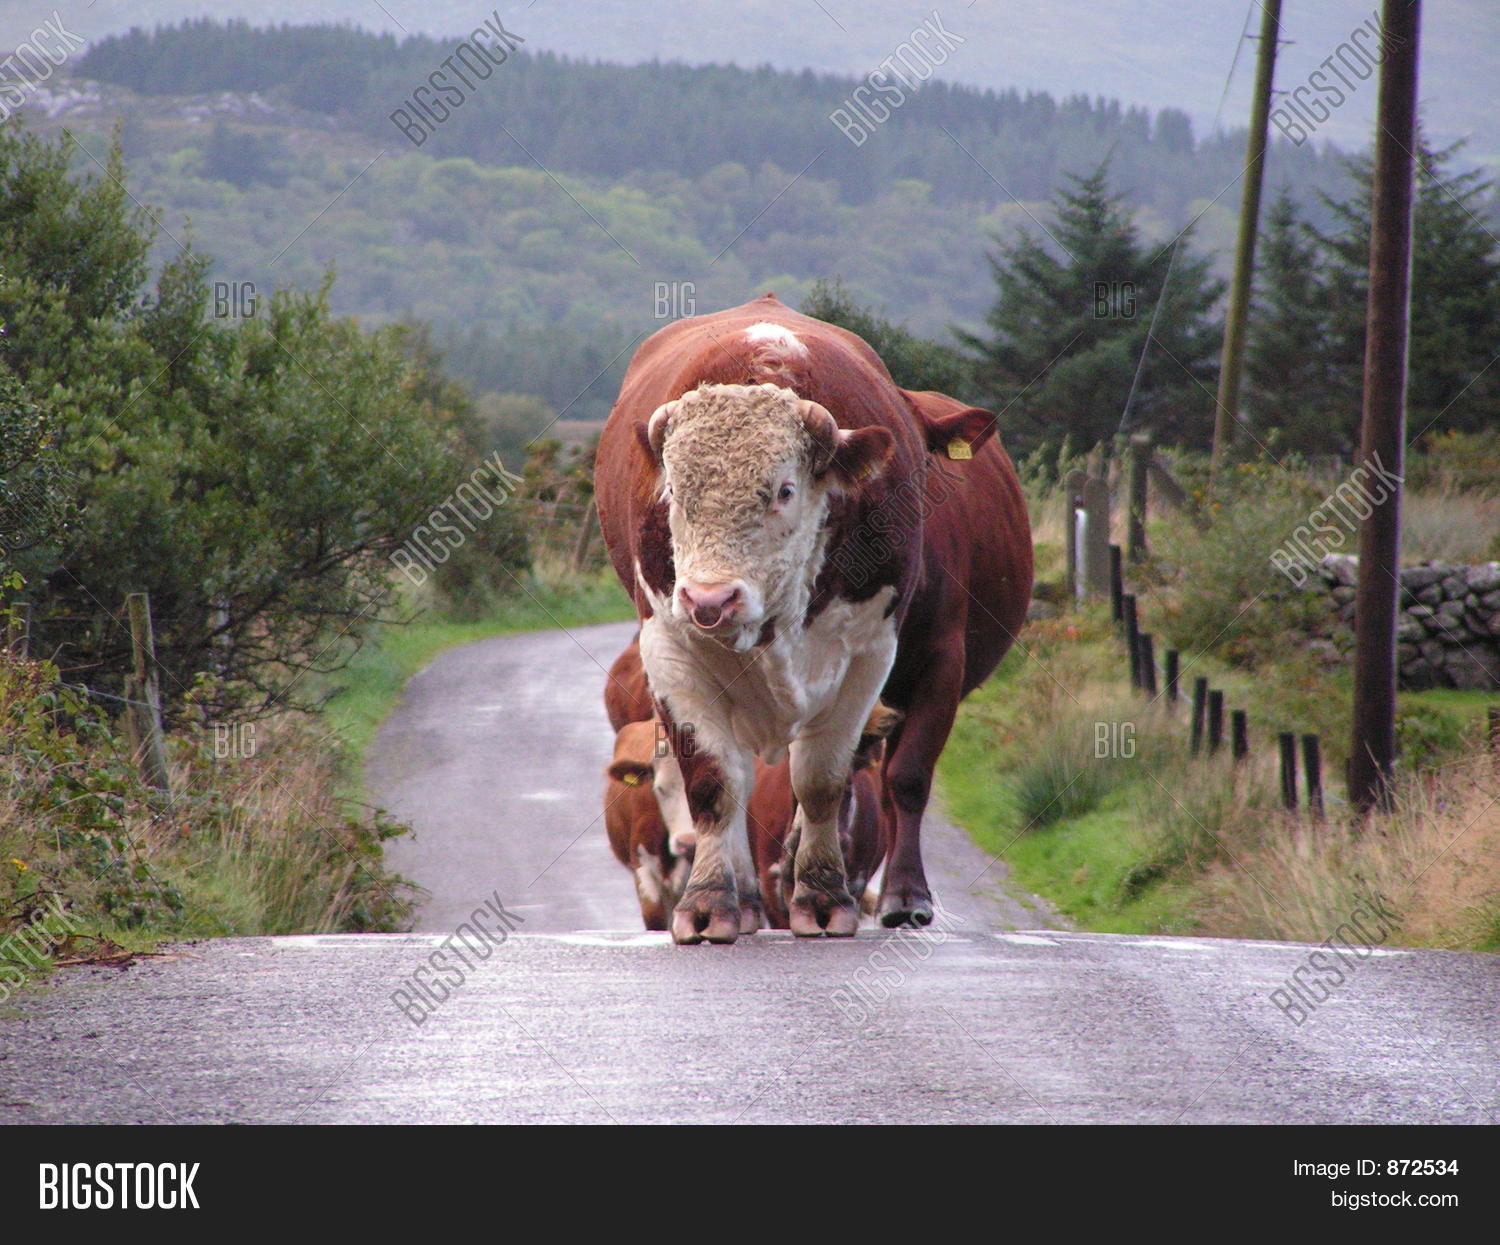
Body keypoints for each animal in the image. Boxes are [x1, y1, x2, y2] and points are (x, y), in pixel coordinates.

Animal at [594, 293, 1031, 943]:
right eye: (672, 490)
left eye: (783, 490)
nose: (709, 600)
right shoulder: (670, 648)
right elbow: (715, 782)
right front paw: (710, 904)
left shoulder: (885, 655)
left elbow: (848, 778)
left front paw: (831, 897)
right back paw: (748, 900)